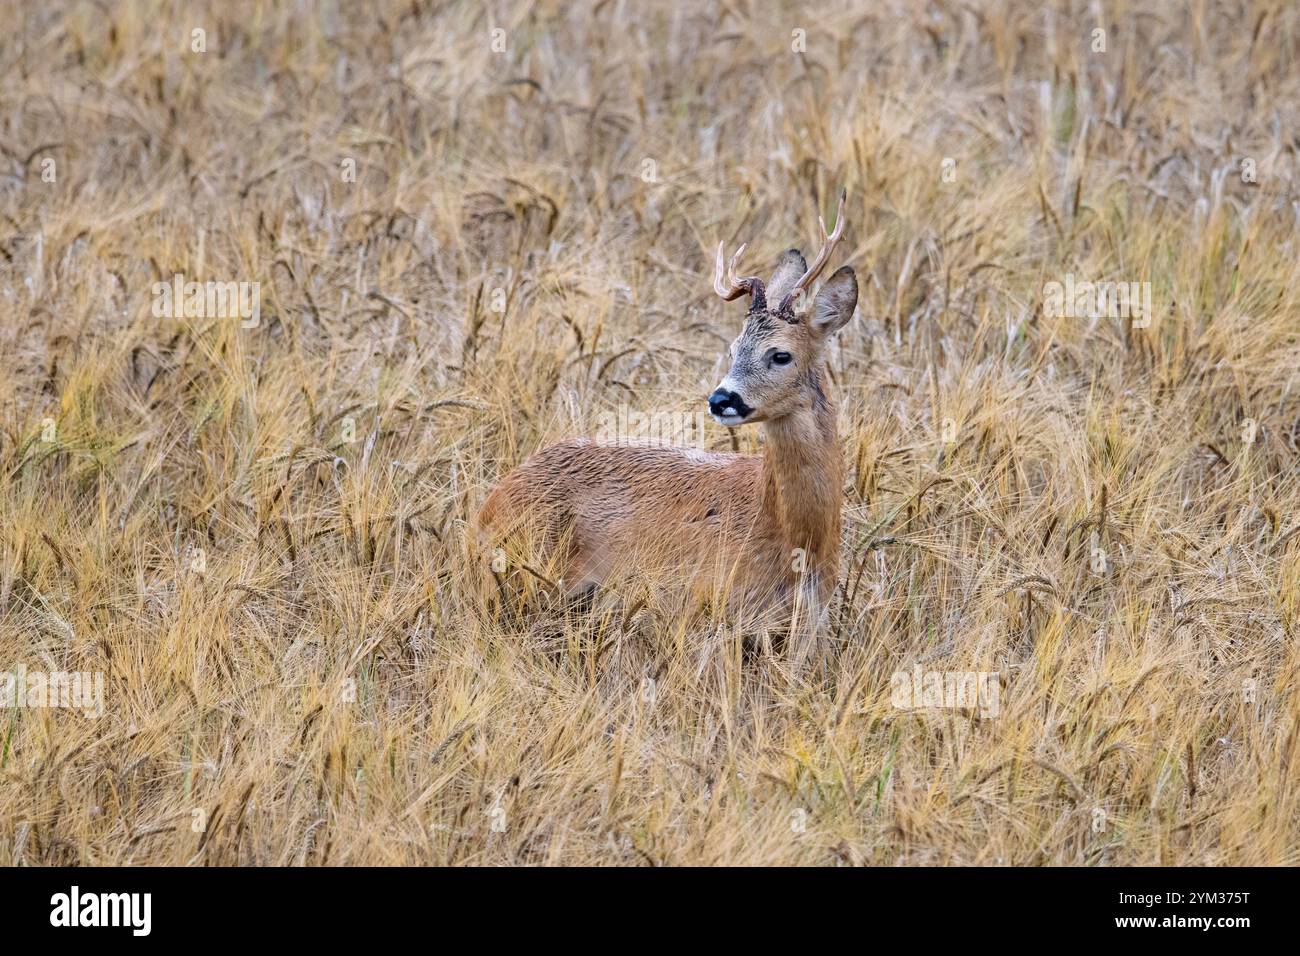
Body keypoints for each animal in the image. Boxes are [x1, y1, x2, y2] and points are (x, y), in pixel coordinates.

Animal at [476, 191, 856, 661]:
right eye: (733, 348)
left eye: (781, 355)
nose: (721, 399)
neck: (795, 540)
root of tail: (489, 504)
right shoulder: (704, 603)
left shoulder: (813, 622)